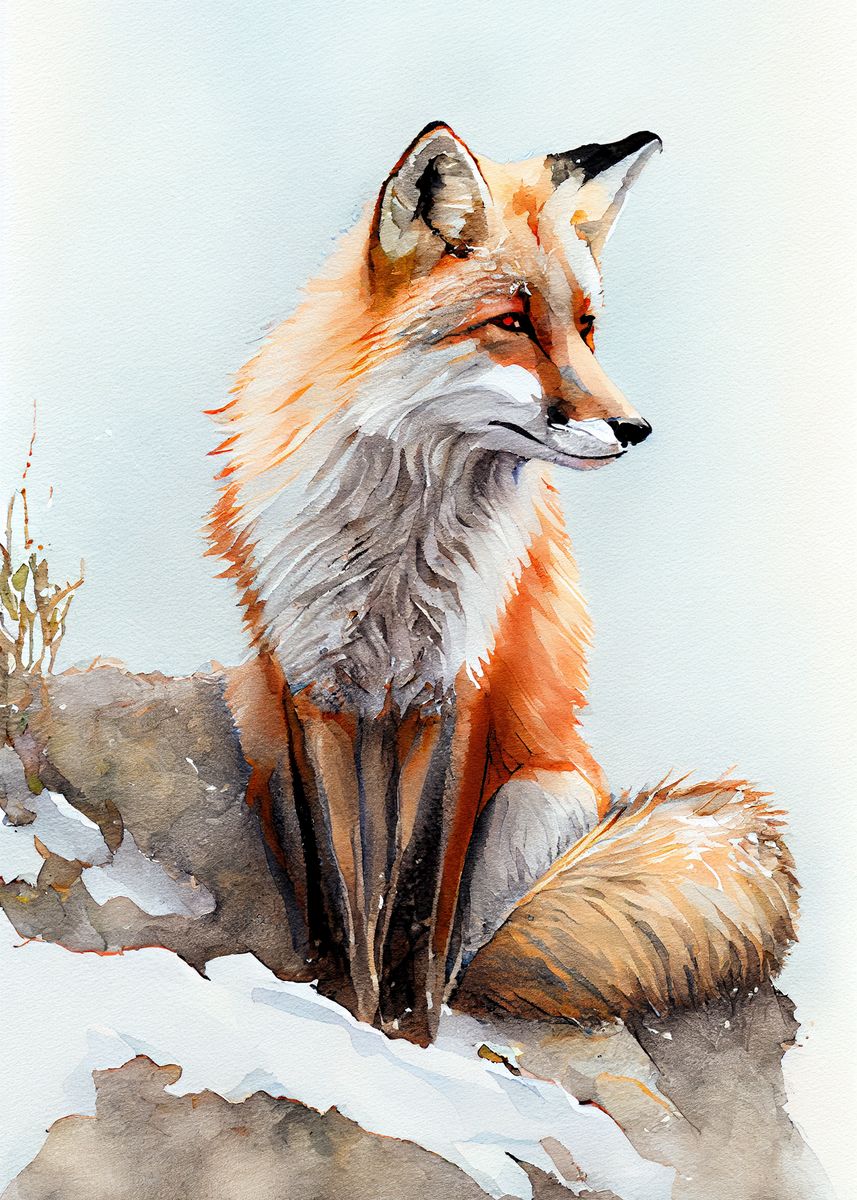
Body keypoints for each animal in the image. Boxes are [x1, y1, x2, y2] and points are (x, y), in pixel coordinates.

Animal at [207, 122, 798, 1044]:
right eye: (512, 322)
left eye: (587, 328)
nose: (633, 427)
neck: (399, 552)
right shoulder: (310, 690)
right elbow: (349, 905)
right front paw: (347, 1019)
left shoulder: (460, 689)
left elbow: (418, 906)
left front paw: (406, 1040)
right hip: (255, 725)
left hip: (537, 798)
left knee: (470, 953)